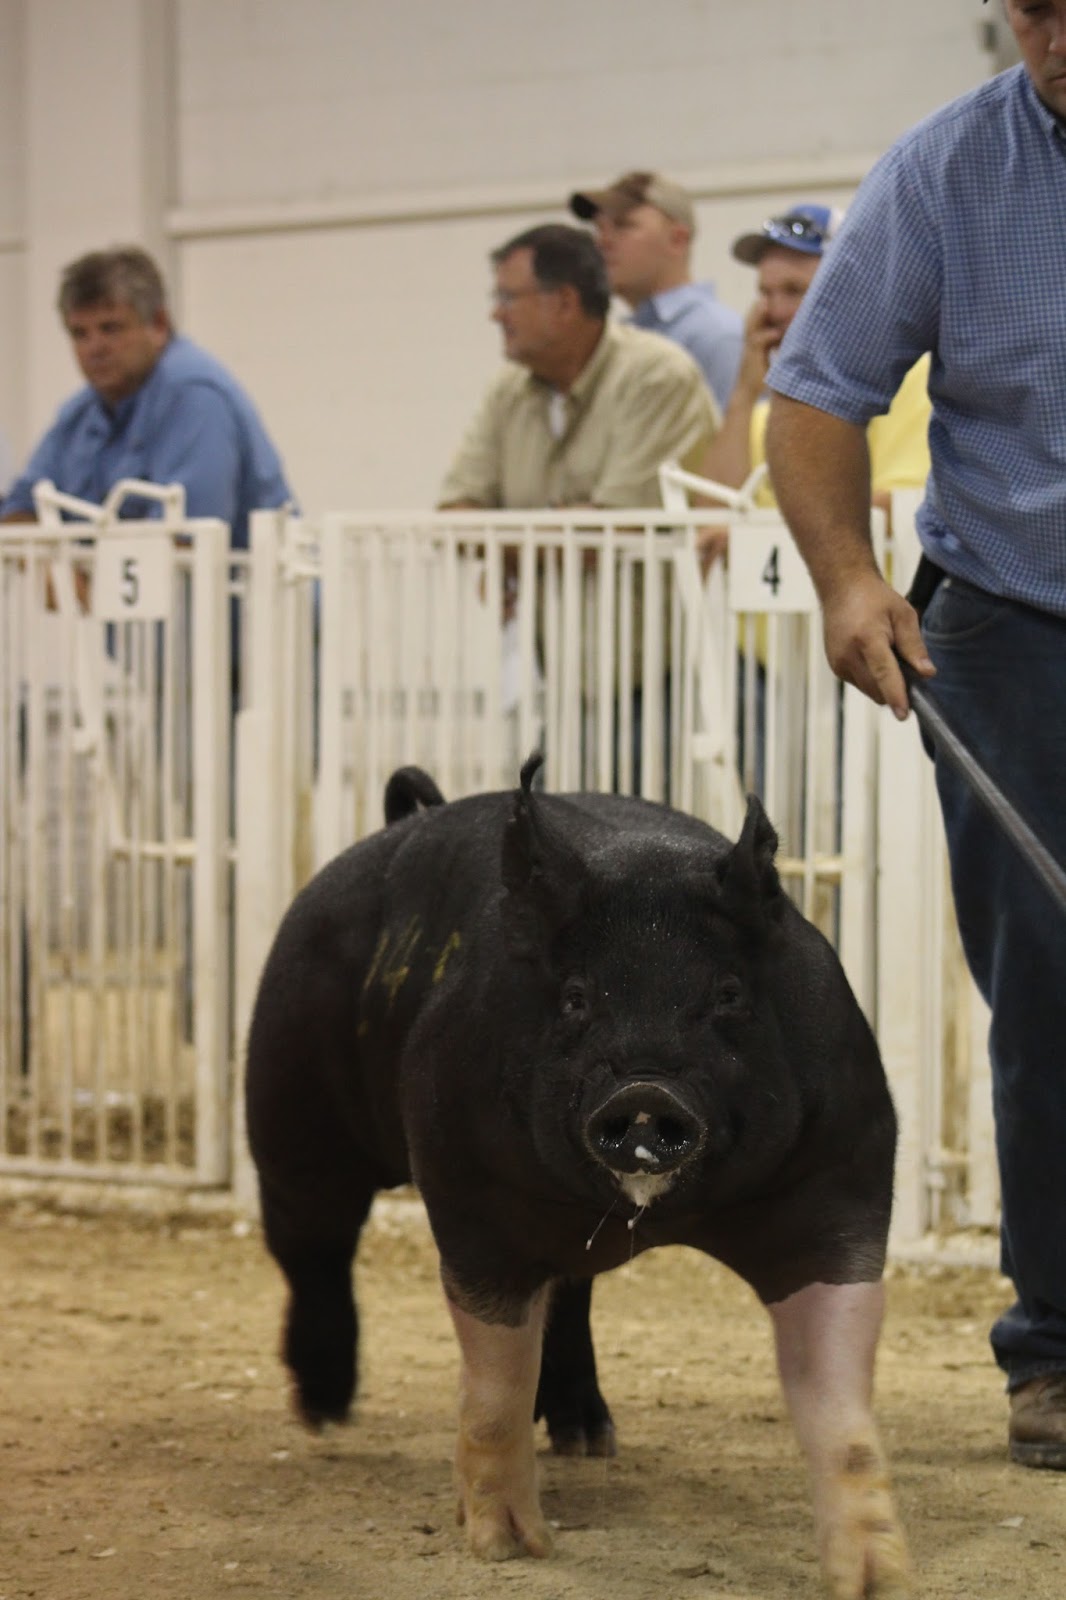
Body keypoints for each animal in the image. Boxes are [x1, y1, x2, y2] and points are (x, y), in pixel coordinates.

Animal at [245, 755, 911, 1599]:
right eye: (575, 999)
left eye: (728, 994)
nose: (645, 1092)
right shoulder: (472, 1199)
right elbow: (495, 1386)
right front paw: (509, 1547)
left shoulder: (837, 1184)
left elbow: (839, 1401)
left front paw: (878, 1576)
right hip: (287, 1099)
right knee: (312, 1248)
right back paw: (327, 1413)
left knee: (567, 1293)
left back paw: (591, 1439)